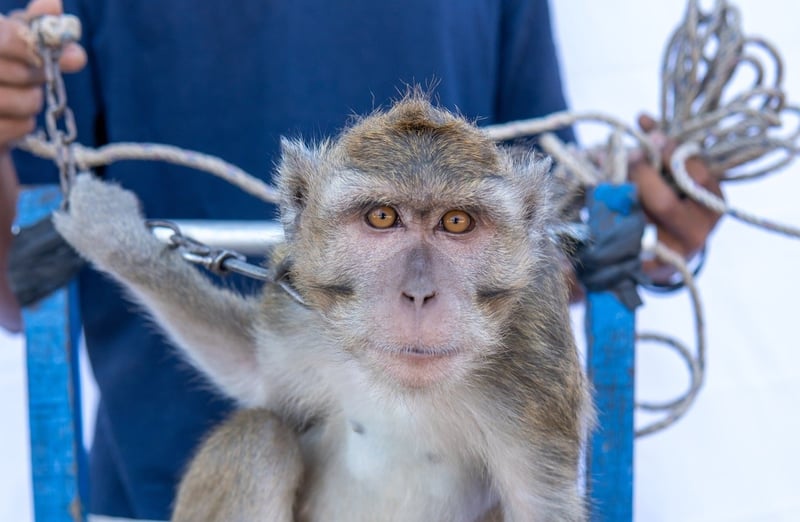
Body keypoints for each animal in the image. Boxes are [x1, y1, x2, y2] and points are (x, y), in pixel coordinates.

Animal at [53, 94, 593, 522]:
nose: (419, 294)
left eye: (457, 222)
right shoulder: (298, 307)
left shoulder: (535, 368)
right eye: (382, 217)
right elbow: (253, 374)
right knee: (259, 438)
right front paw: (116, 240)